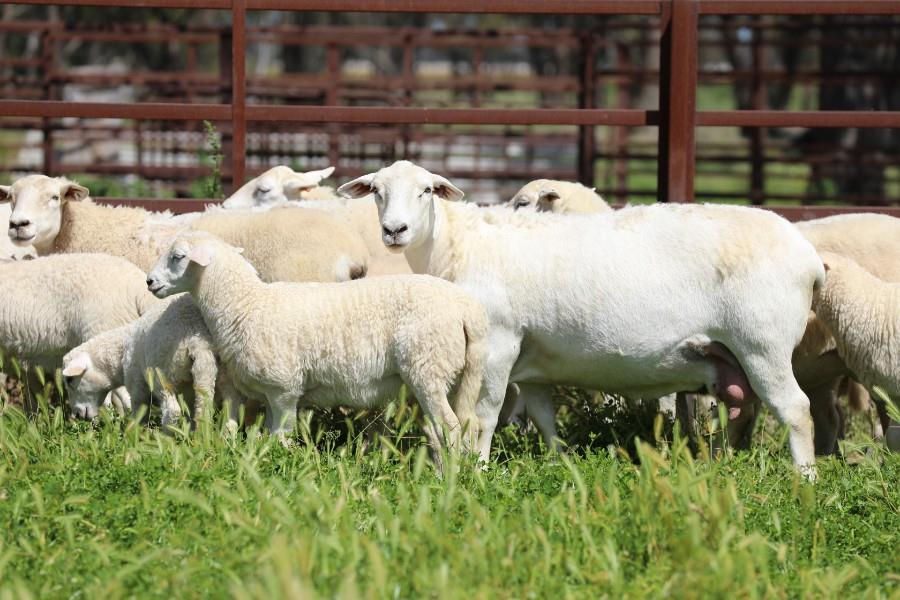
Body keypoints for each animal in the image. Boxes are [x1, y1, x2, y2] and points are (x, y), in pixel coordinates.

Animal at [145, 231, 488, 467]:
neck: (246, 304)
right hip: (449, 377)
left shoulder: (284, 388)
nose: (149, 281)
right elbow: (268, 434)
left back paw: (451, 480)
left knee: (451, 428)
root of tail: (467, 310)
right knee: (455, 428)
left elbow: (280, 437)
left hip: (429, 367)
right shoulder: (270, 395)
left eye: (178, 256)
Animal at [338, 160, 825, 476]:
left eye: (426, 191)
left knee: (796, 410)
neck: (458, 247)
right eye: (377, 191)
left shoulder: (499, 343)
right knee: (748, 410)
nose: (395, 231)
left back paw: (805, 480)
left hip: (763, 343)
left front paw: (478, 470)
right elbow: (543, 417)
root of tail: (809, 256)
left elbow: (484, 414)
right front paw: (559, 463)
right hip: (736, 356)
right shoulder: (531, 359)